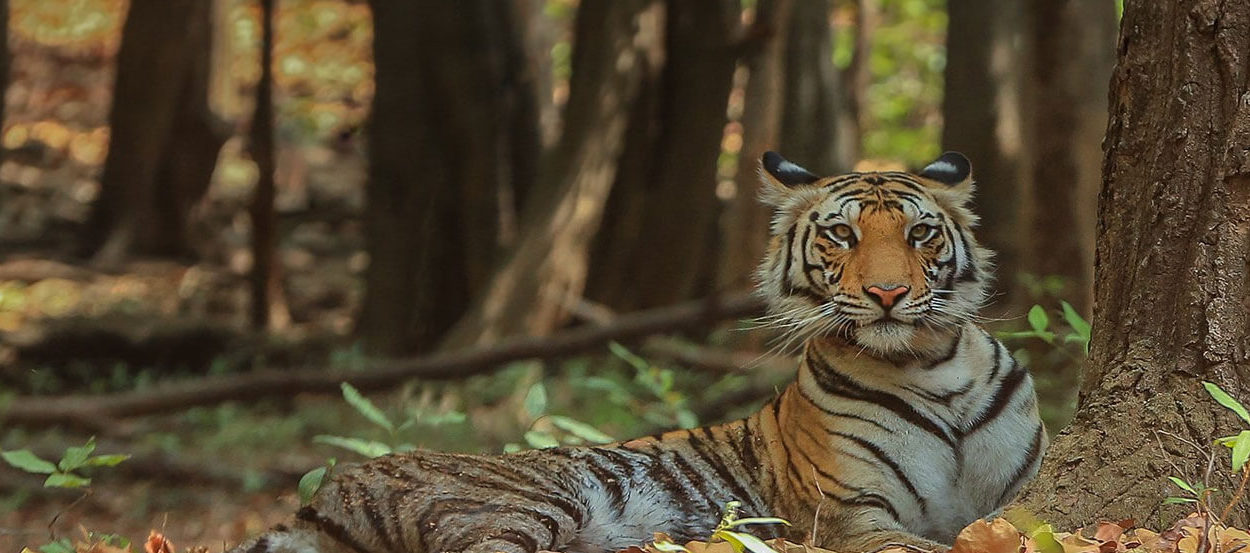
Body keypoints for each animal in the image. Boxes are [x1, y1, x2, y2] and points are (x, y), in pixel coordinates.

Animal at [226, 151, 1046, 553]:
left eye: (920, 233)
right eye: (842, 234)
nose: (886, 293)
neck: (932, 365)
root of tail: (327, 488)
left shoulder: (1012, 493)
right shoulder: (850, 515)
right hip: (519, 503)